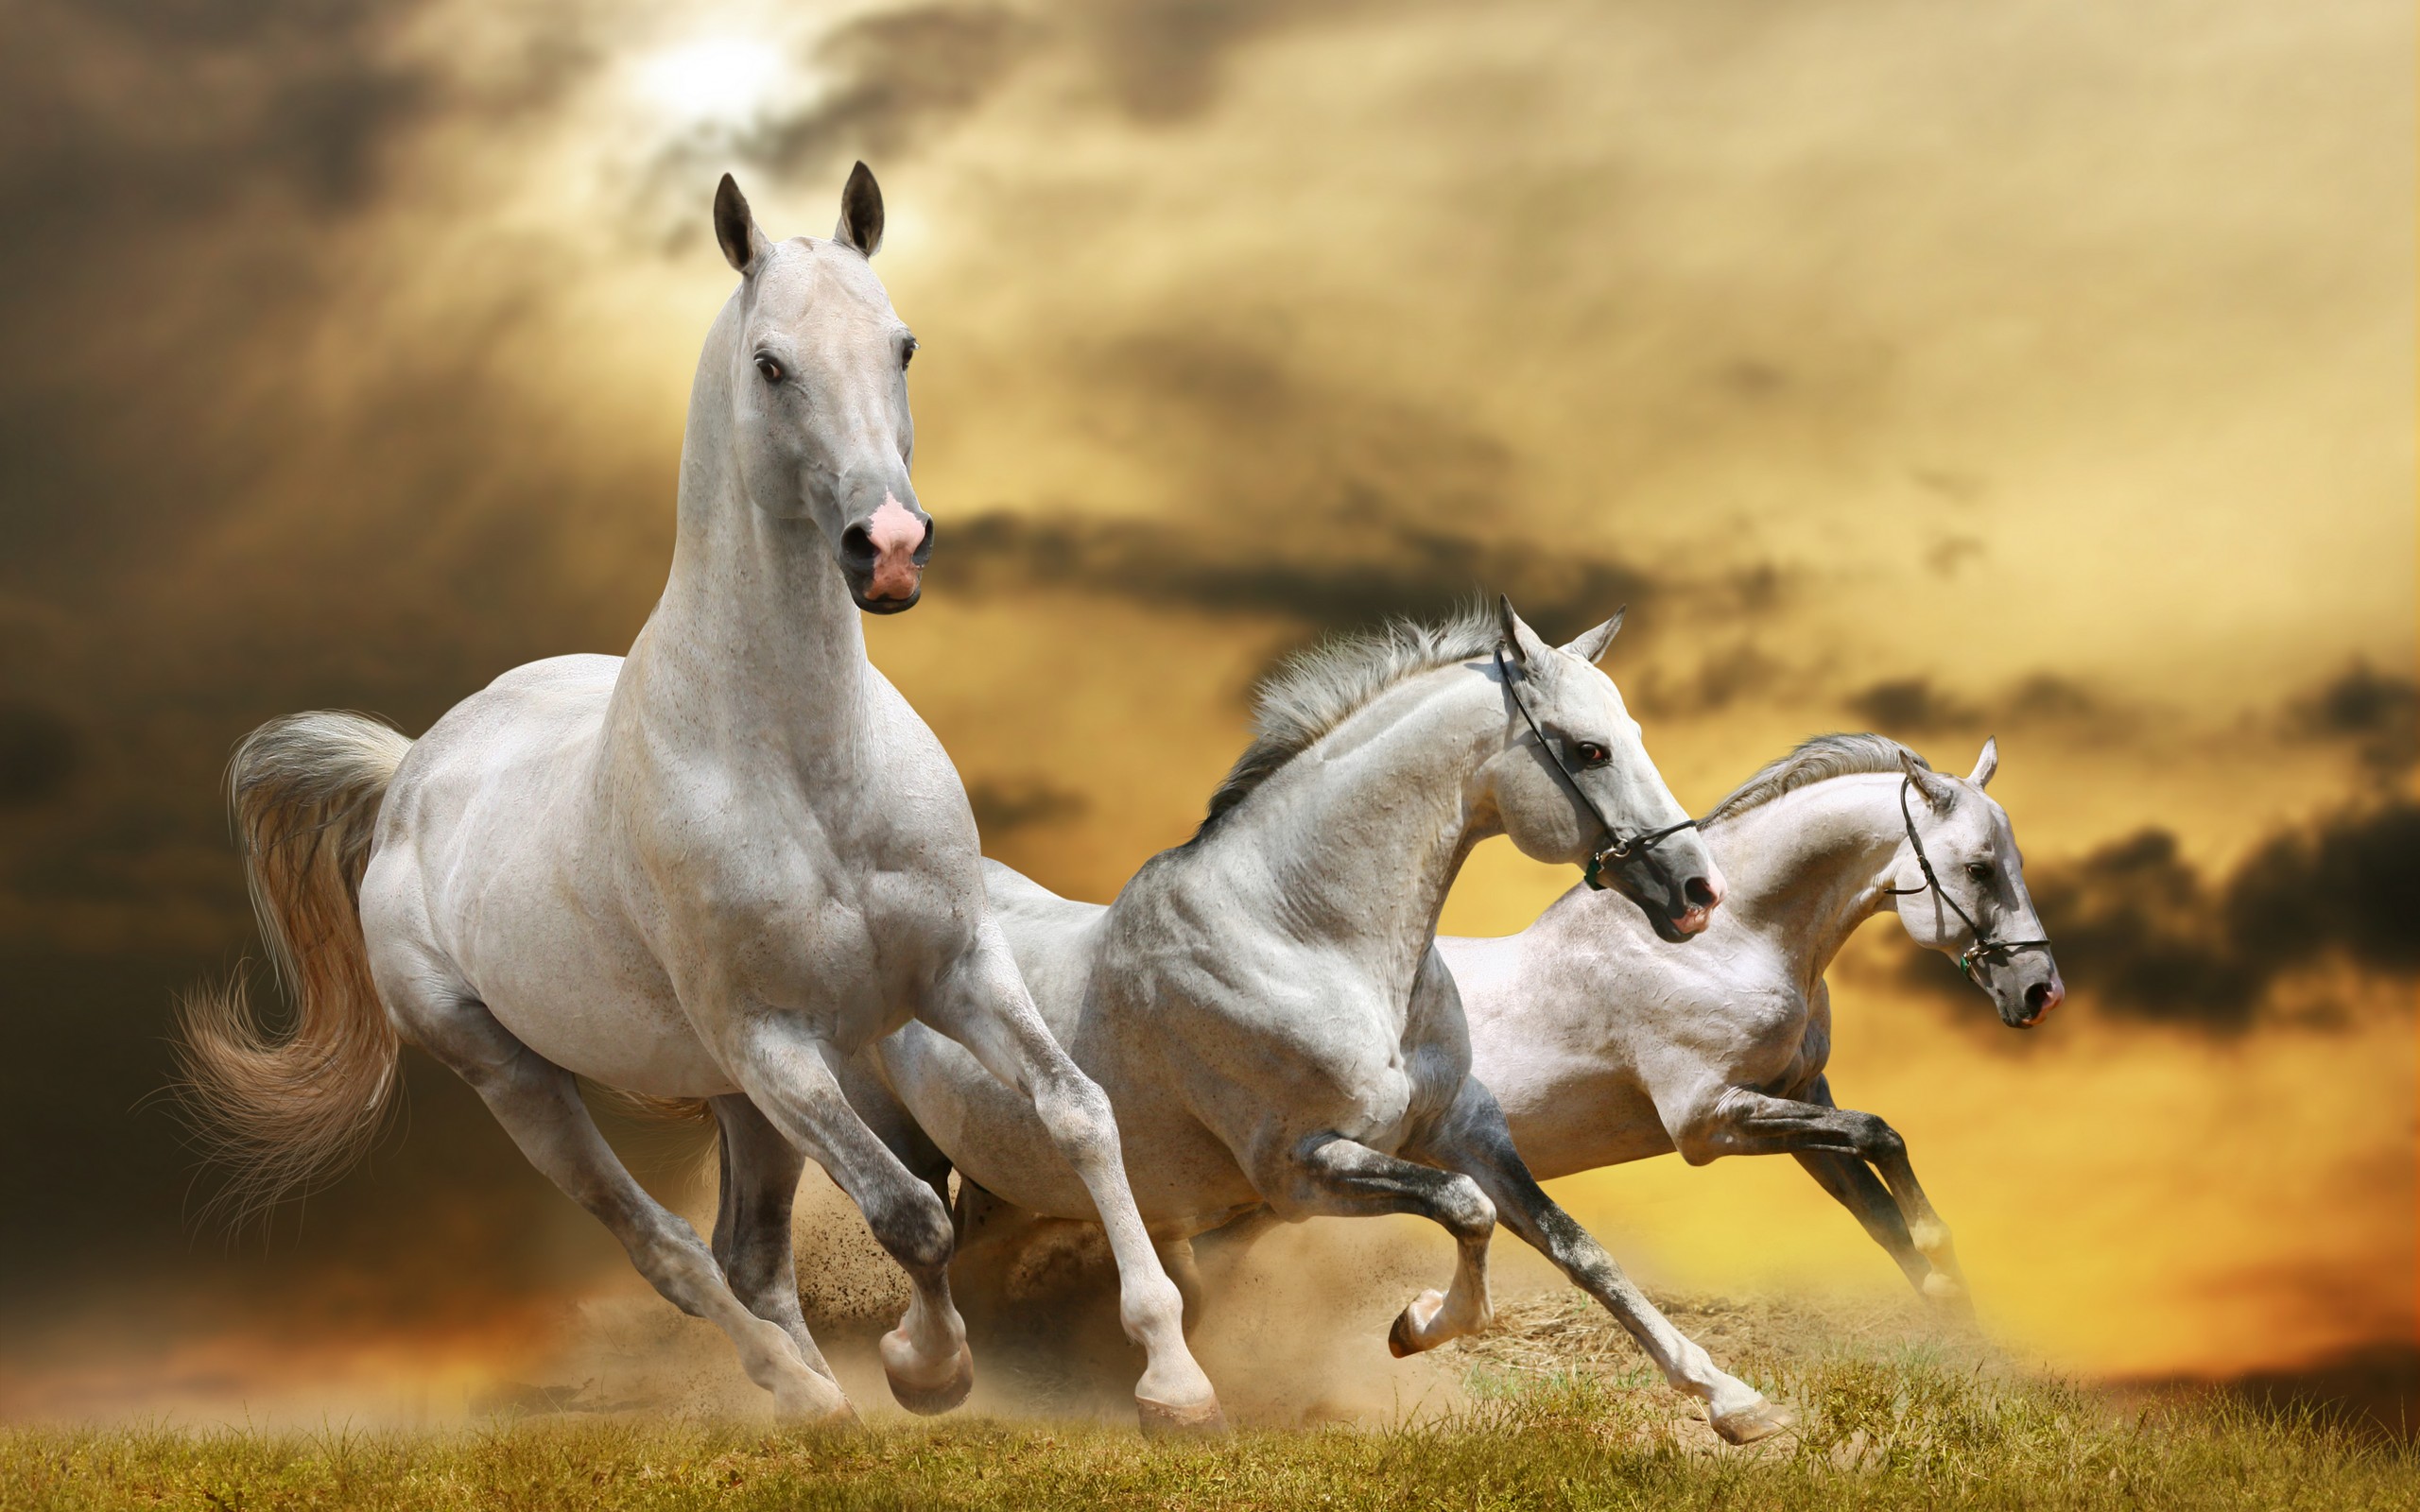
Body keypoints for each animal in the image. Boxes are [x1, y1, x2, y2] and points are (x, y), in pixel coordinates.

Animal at [175, 166, 1220, 1432]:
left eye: (903, 344)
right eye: (770, 363)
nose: (889, 548)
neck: (808, 770)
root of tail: (414, 767)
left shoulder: (954, 973)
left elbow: (1077, 1112)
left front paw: (1172, 1376)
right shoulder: (775, 1041)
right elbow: (911, 1209)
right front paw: (927, 1370)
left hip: (734, 1101)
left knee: (748, 1256)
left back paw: (818, 1394)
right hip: (525, 1079)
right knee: (669, 1249)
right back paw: (805, 1391)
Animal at [861, 601, 1796, 1443]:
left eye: (1631, 730)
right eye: (1587, 749)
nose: (1699, 892)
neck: (1306, 938)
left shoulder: (1463, 1126)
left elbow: (1575, 1246)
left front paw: (1736, 1403)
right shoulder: (1303, 1169)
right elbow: (1466, 1211)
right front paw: (1417, 1324)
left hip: (1004, 1187)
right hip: (900, 1139)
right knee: (910, 1230)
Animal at [1444, 734, 2063, 1300]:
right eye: (1979, 869)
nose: (2042, 992)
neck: (1724, 944)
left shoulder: (1799, 1099)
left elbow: (1886, 1222)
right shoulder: (1709, 1119)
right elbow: (1880, 1136)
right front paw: (1939, 1254)